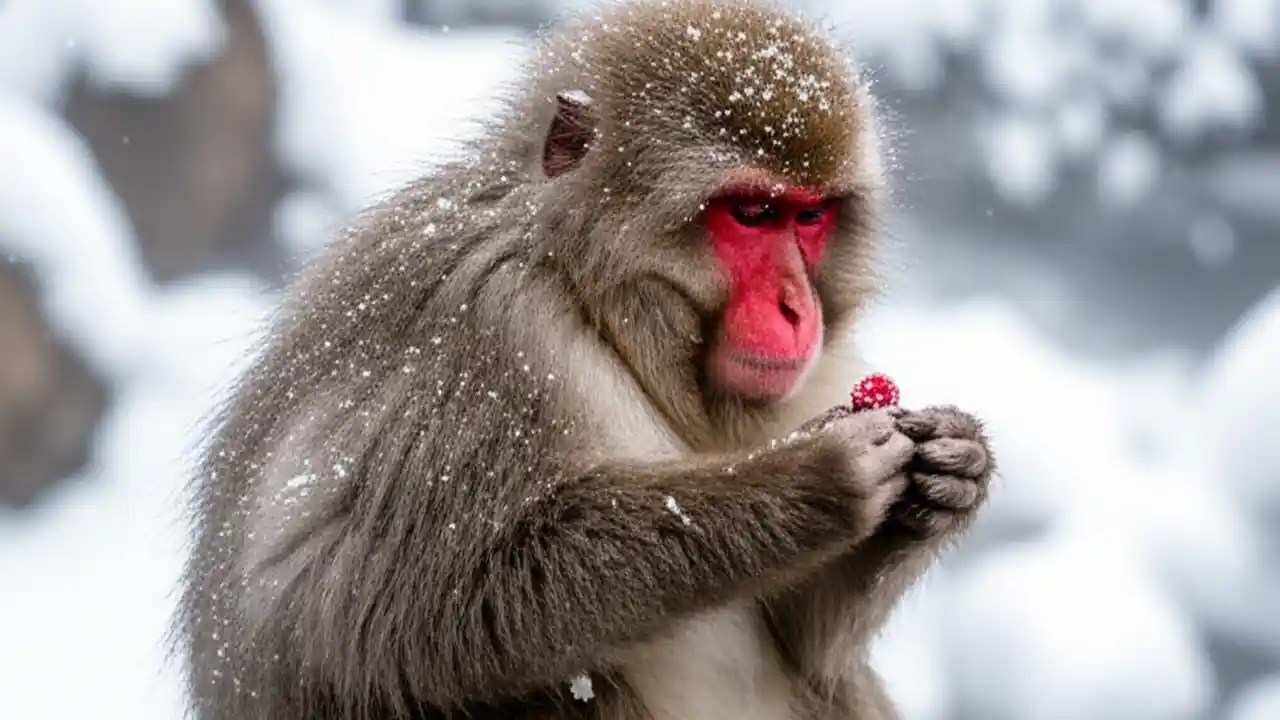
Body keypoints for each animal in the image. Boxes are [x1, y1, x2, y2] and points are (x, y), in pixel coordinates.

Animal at [178, 1, 993, 719]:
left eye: (810, 216)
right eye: (753, 213)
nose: (800, 309)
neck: (581, 292)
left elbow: (806, 646)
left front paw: (953, 471)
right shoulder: (478, 331)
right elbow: (378, 616)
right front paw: (812, 480)